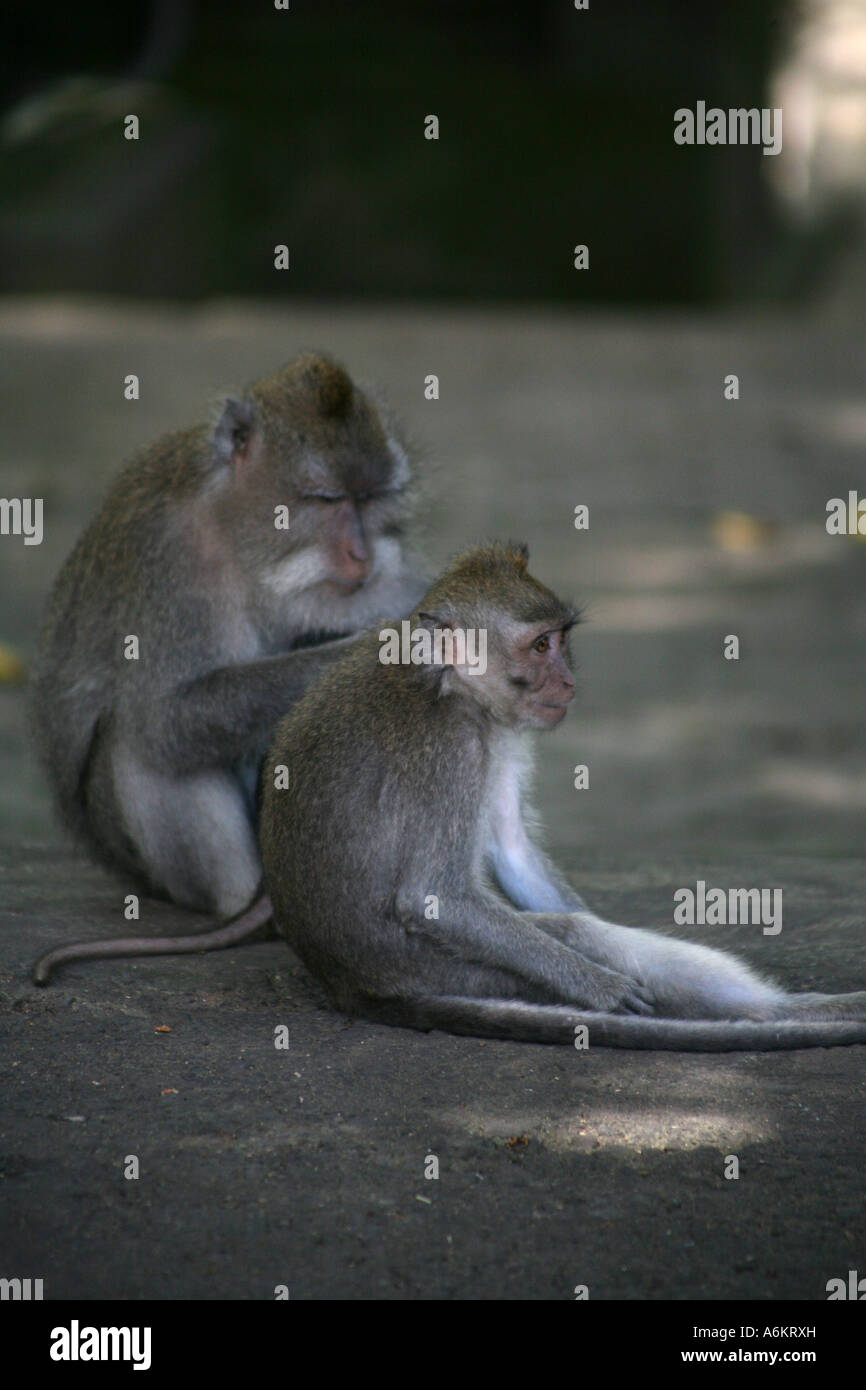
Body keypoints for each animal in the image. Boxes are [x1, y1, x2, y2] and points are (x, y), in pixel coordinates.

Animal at [30, 352, 427, 932]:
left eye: (371, 499)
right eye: (326, 499)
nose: (362, 555)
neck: (235, 531)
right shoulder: (171, 558)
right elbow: (166, 716)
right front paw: (383, 640)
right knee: (141, 740)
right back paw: (252, 906)